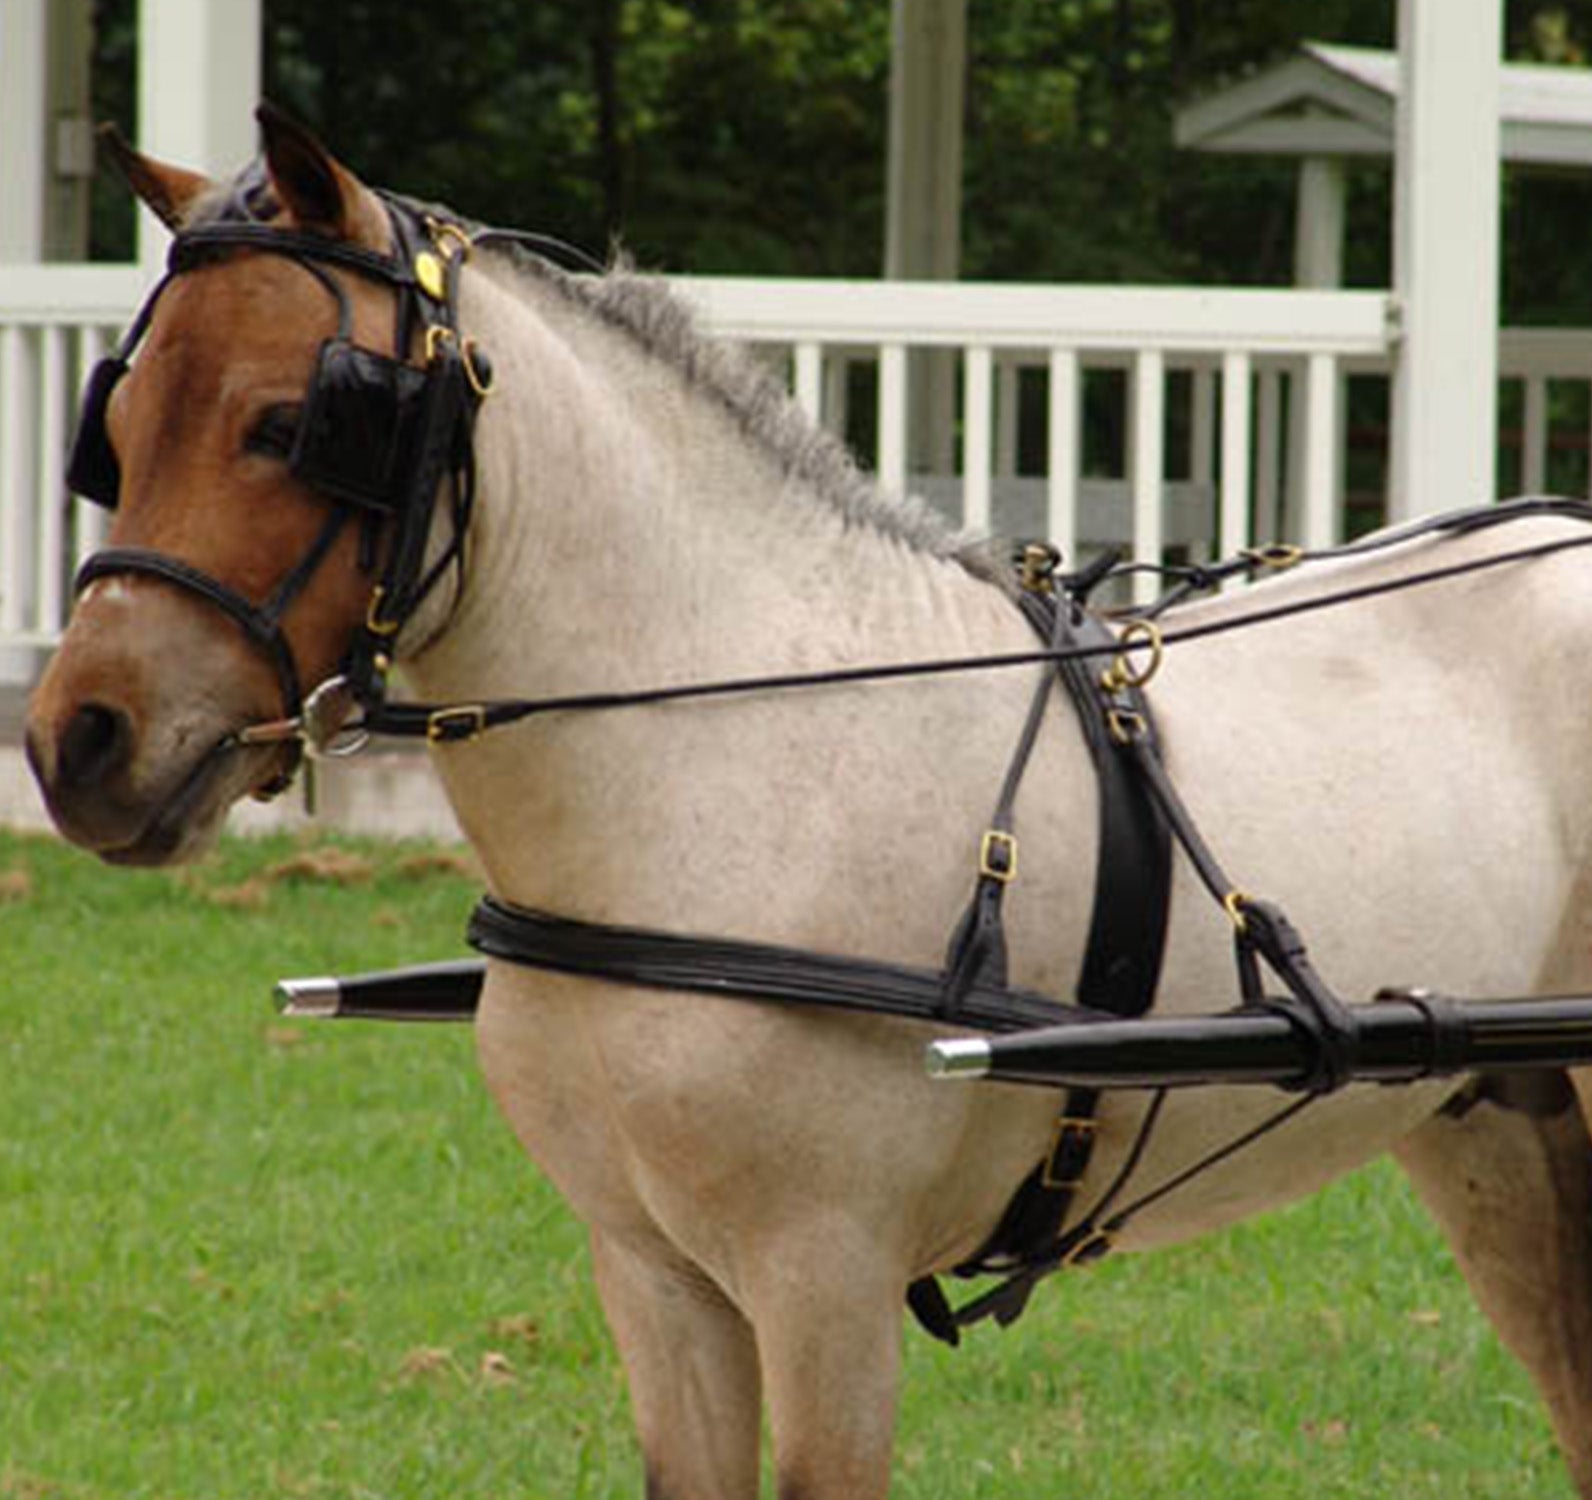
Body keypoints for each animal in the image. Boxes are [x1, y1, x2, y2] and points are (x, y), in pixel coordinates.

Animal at [24, 107, 1592, 1499]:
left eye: (292, 423)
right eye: (122, 419)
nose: (77, 739)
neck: (721, 765)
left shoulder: (821, 1277)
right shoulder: (653, 1273)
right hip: (1494, 1125)